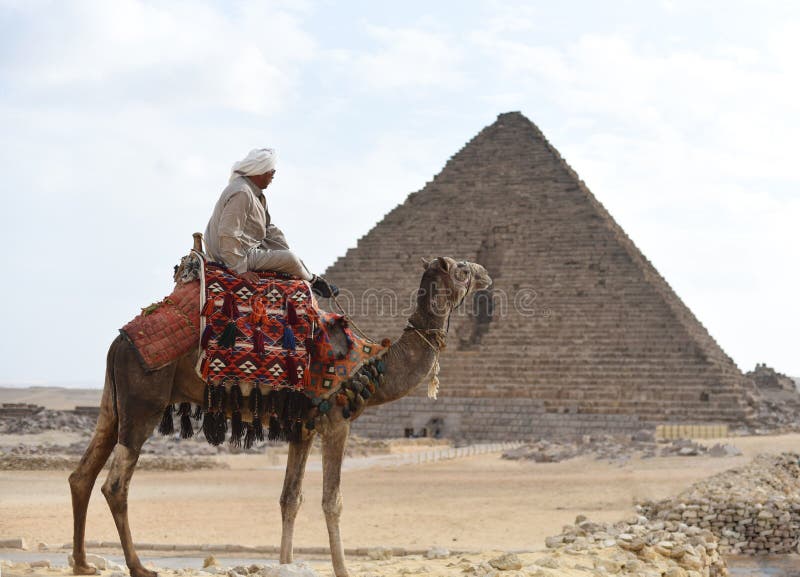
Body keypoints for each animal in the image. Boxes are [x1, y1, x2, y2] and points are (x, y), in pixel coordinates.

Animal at [68, 256, 491, 577]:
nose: (486, 274)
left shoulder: (303, 427)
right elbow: (332, 500)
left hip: (112, 405)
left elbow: (290, 497)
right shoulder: (336, 420)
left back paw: (83, 564)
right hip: (143, 403)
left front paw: (286, 563)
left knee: (81, 476)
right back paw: (139, 567)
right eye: (461, 269)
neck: (372, 363)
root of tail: (120, 340)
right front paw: (342, 570)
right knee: (115, 484)